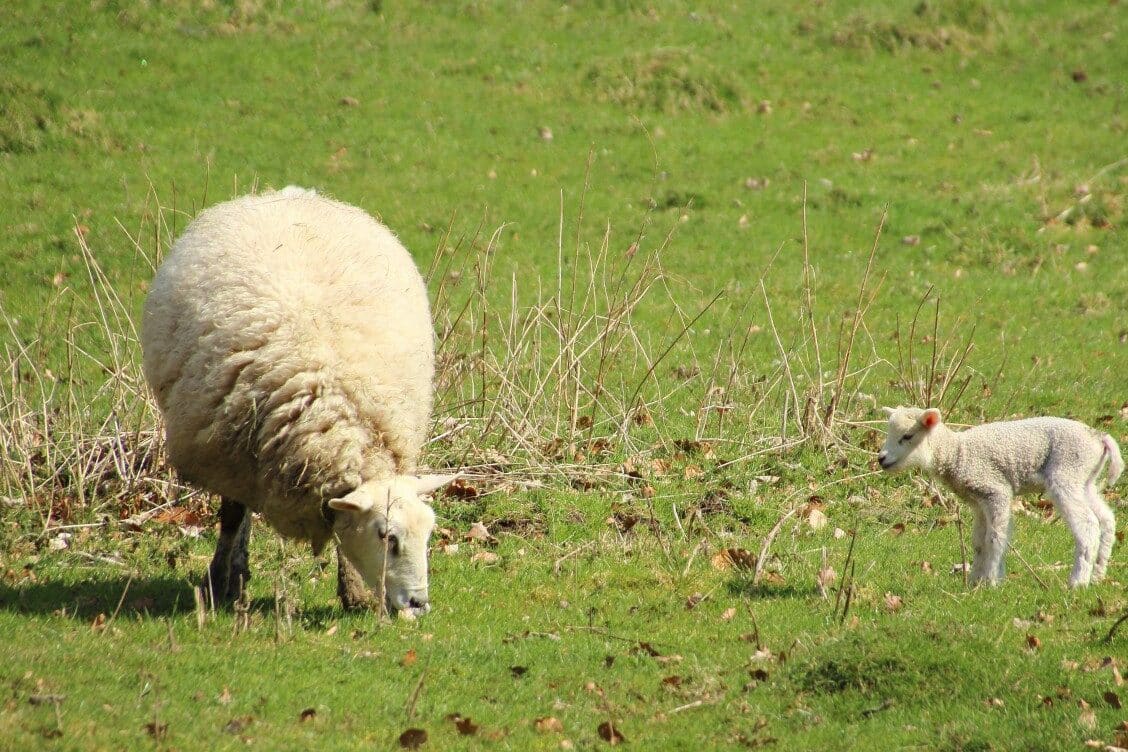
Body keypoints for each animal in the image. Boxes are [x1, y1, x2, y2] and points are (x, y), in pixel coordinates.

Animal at [141, 186, 458, 616]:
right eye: (386, 537)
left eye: (429, 533)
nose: (418, 603)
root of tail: (291, 193)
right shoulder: (226, 452)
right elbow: (231, 517)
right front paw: (220, 582)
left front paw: (353, 592)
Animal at [878, 406, 1122, 588]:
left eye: (907, 436)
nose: (881, 458)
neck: (957, 454)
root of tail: (1099, 438)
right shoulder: (978, 502)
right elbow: (978, 542)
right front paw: (975, 581)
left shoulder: (996, 491)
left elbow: (995, 538)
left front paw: (992, 581)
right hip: (1085, 480)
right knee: (1106, 519)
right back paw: (1098, 574)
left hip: (1067, 472)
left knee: (1088, 525)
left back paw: (1078, 581)